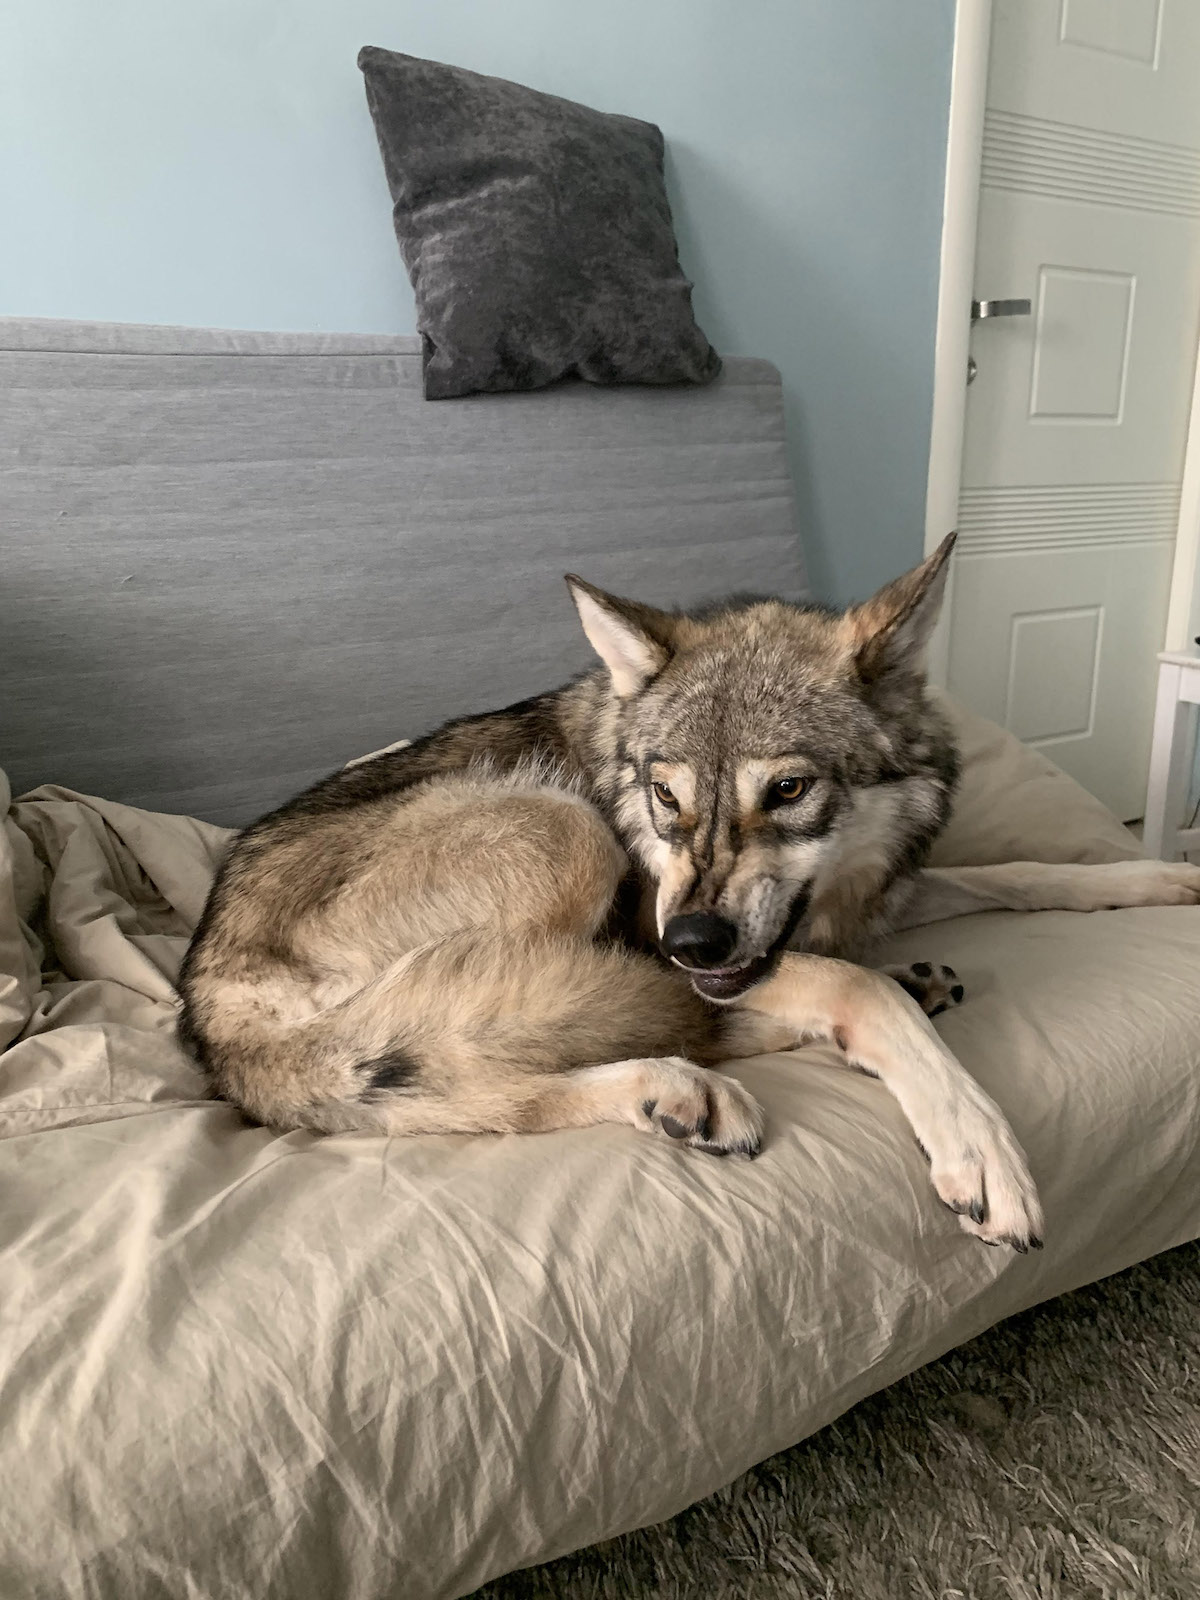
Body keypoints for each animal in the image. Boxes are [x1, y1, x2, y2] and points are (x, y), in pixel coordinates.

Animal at [178, 534, 1200, 1253]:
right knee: (477, 1073)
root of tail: (203, 1002)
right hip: (565, 837)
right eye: (667, 796)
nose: (694, 943)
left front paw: (1159, 876)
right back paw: (683, 1084)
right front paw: (976, 1145)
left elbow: (1019, 872)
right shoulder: (650, 923)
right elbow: (858, 986)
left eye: (787, 790)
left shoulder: (876, 893)